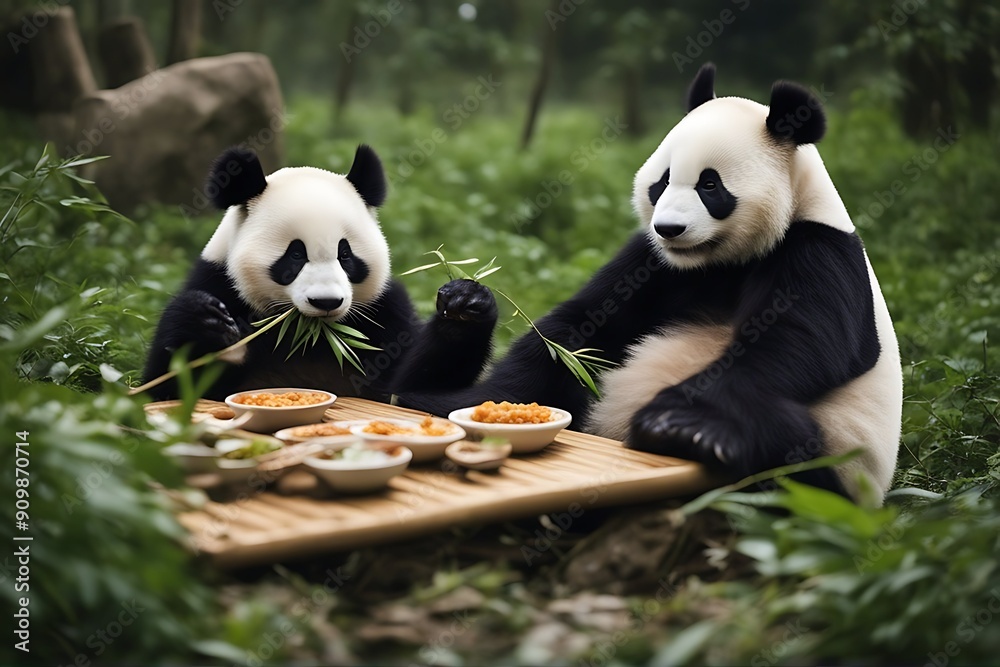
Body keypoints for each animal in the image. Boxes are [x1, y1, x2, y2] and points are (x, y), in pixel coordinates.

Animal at [143, 145, 498, 402]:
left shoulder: (384, 311)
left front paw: (465, 303)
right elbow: (164, 390)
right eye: (296, 254)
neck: (311, 335)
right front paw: (202, 321)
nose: (326, 302)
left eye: (345, 254)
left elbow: (411, 387)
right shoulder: (220, 283)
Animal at [399, 64, 903, 502]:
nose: (670, 229)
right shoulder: (653, 262)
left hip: (836, 462)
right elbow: (577, 333)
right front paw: (482, 382)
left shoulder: (815, 250)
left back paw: (689, 437)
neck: (721, 261)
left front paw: (678, 422)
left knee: (784, 433)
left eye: (709, 185)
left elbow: (792, 344)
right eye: (661, 182)